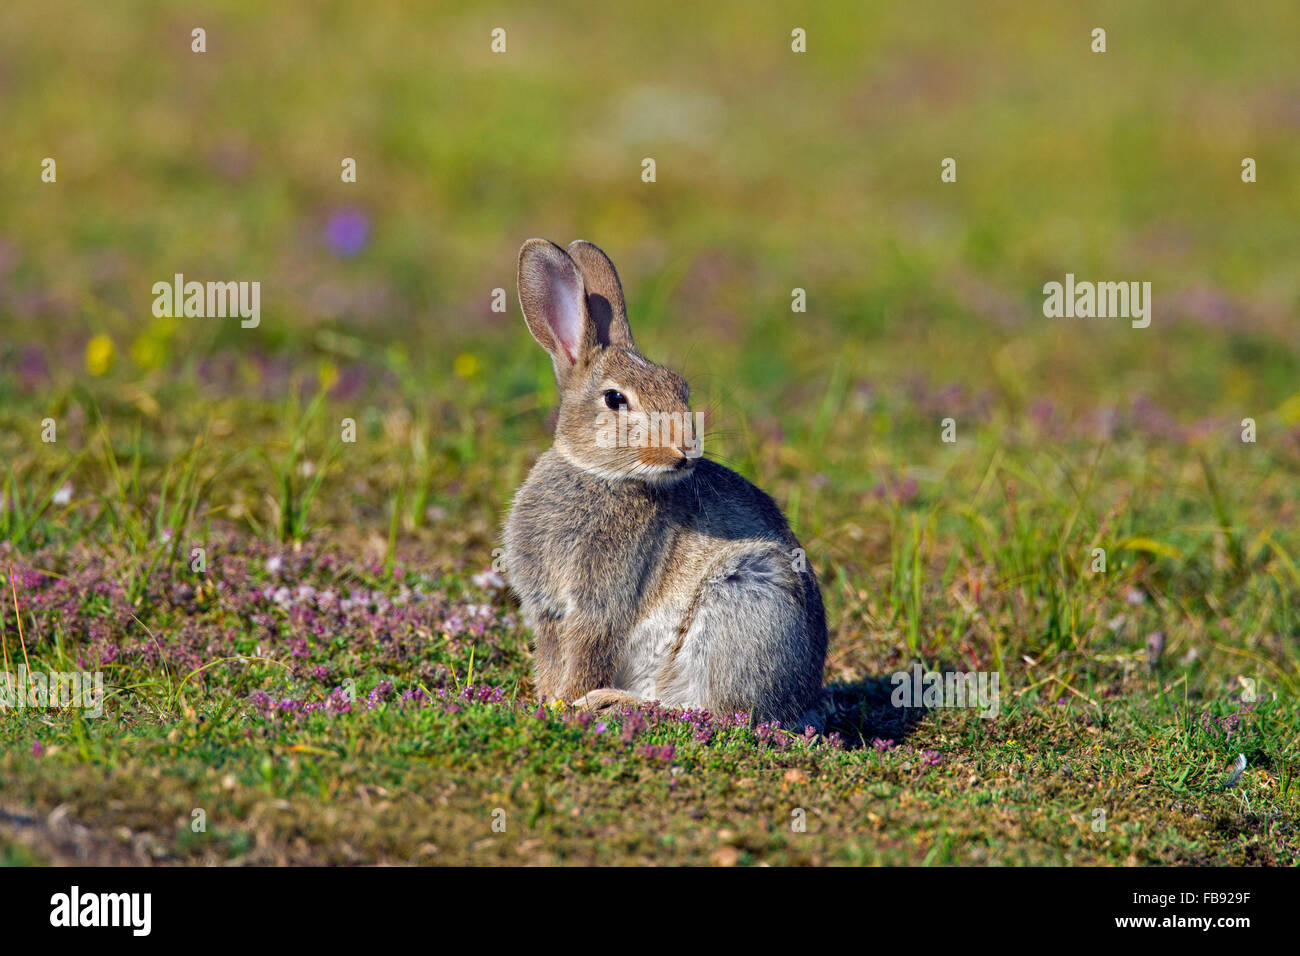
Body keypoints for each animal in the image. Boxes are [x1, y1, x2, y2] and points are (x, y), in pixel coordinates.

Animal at [503, 238, 828, 729]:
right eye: (615, 399)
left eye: (681, 389)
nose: (685, 450)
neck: (601, 475)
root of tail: (799, 702)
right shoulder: (550, 611)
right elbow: (554, 658)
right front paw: (546, 701)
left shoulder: (603, 604)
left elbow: (588, 653)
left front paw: (565, 705)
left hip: (744, 596)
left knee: (711, 710)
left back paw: (611, 702)